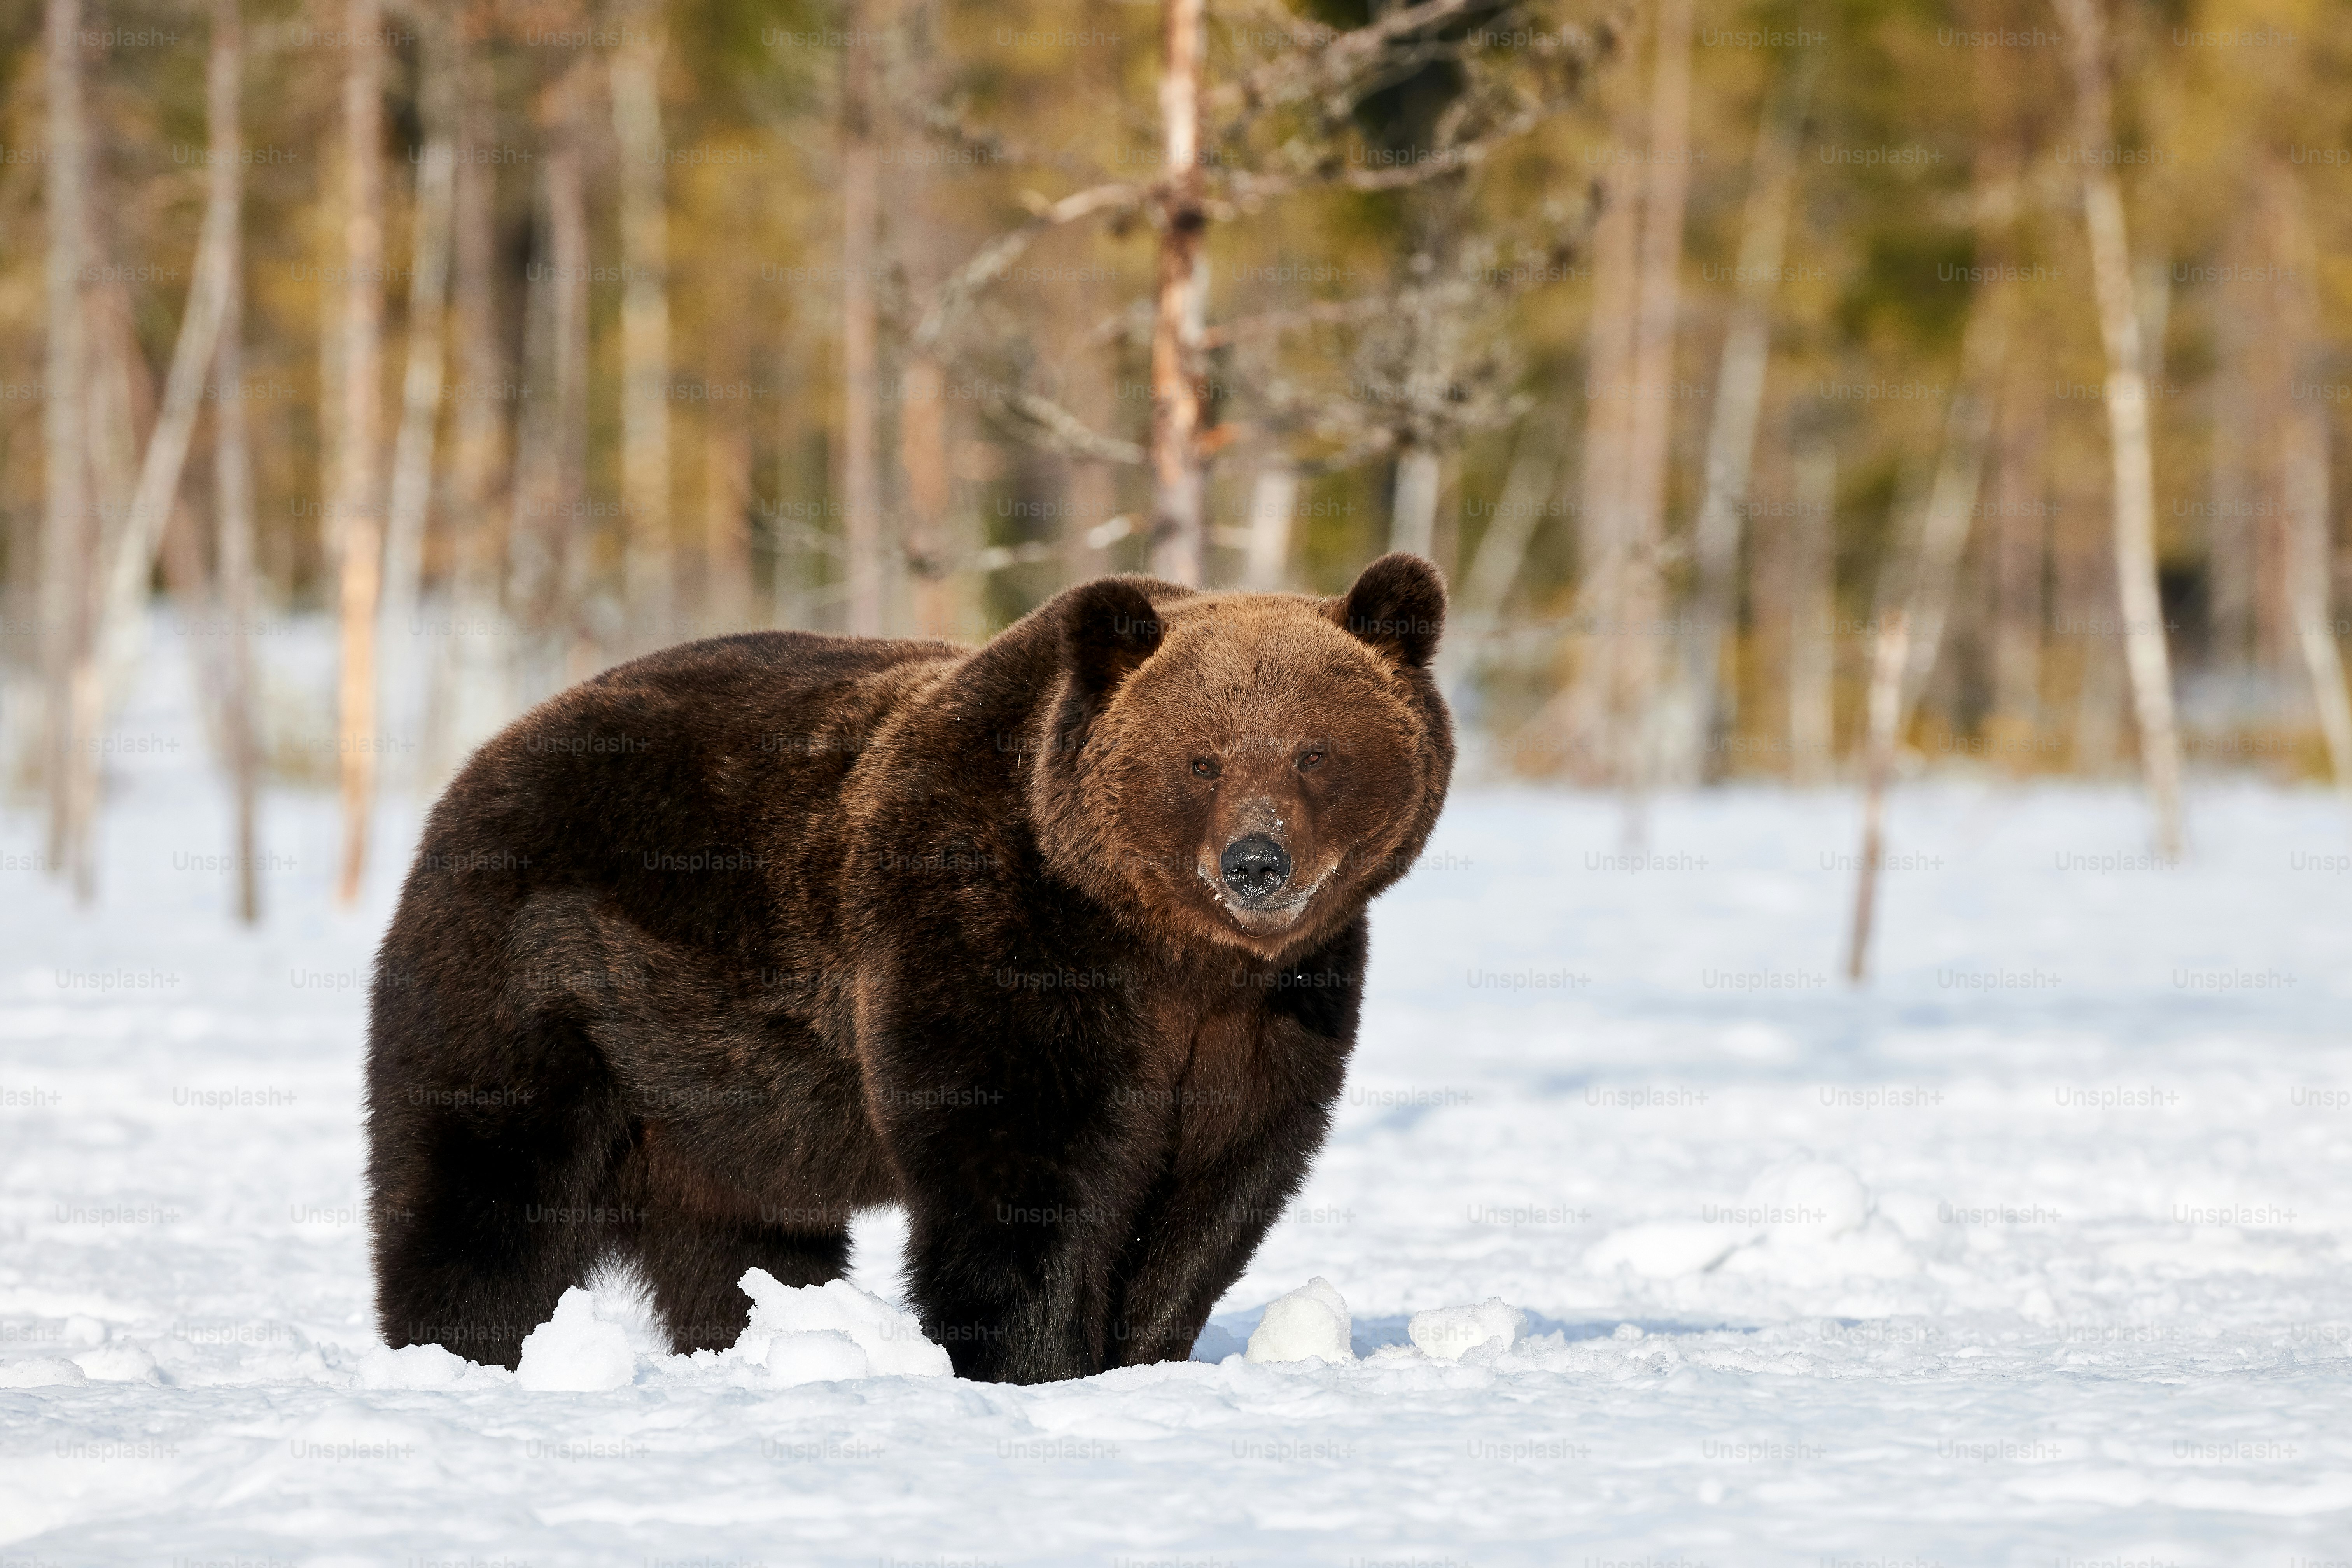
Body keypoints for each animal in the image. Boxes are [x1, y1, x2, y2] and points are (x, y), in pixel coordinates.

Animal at [364, 553, 1452, 1384]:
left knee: (740, 1240)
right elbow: (1022, 1172)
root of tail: (486, 755)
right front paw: (1032, 1361)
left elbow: (1217, 1190)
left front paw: (1144, 1355)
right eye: (1202, 758)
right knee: (484, 1187)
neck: (1171, 954)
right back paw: (458, 1350)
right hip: (547, 987)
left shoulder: (1276, 1011)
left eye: (1314, 752)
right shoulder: (996, 933)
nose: (1256, 863)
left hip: (707, 1099)